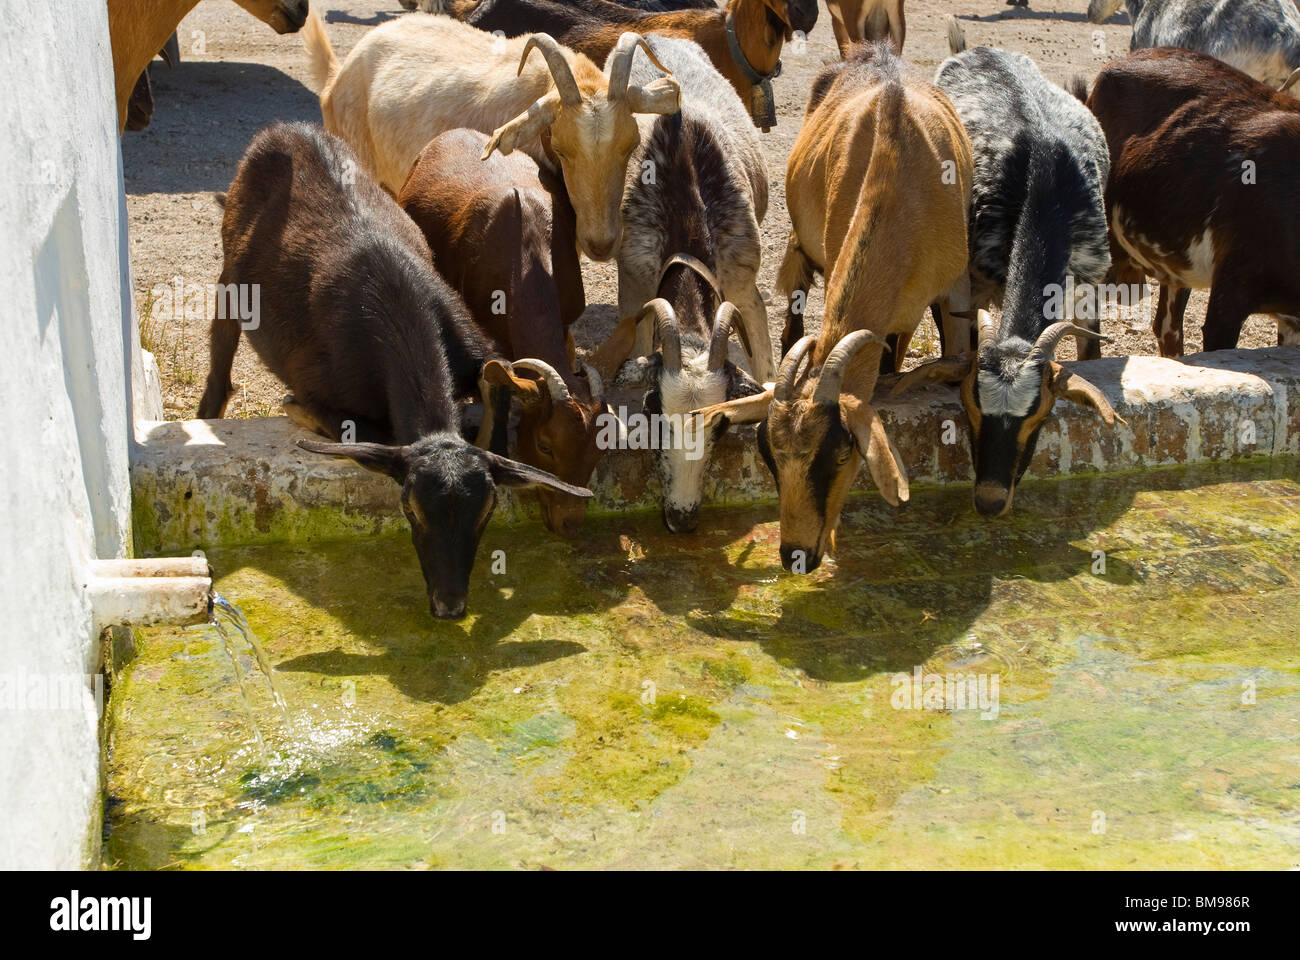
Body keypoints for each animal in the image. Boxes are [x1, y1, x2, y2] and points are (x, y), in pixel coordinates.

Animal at [196, 123, 589, 620]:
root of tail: (284, 131)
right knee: (221, 343)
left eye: (486, 512)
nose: (449, 605)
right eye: (411, 509)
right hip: (230, 275)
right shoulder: (320, 387)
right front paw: (294, 410)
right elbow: (356, 428)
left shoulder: (477, 347)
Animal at [889, 19, 1120, 519]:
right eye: (972, 406)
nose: (991, 500)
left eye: (1039, 410)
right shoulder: (965, 280)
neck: (1045, 178)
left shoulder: (1090, 280)